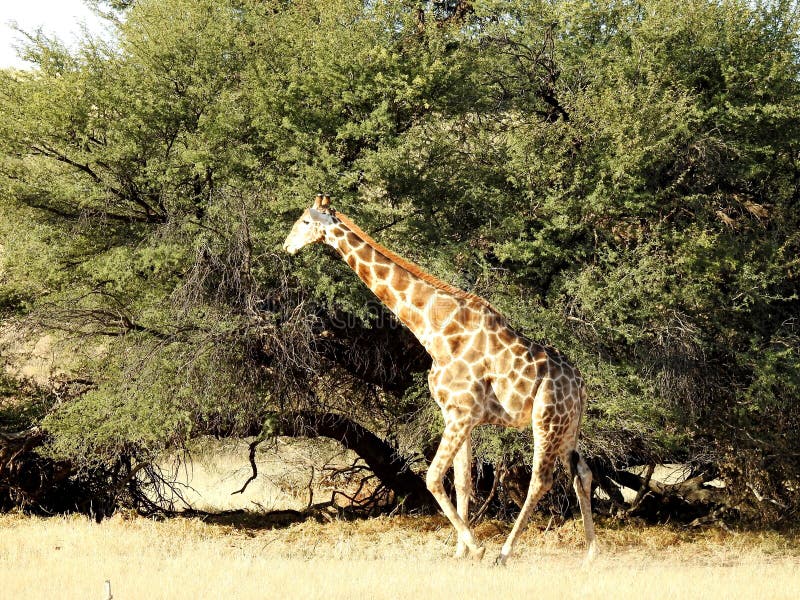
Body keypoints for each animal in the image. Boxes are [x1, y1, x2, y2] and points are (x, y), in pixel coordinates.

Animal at [283, 194, 598, 565]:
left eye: (305, 221)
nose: (286, 245)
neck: (435, 330)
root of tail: (580, 384)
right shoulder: (458, 415)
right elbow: (462, 482)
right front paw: (461, 551)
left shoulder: (461, 413)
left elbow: (433, 478)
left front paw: (476, 546)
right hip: (567, 426)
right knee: (582, 474)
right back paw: (591, 553)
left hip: (545, 420)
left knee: (541, 481)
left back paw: (504, 553)